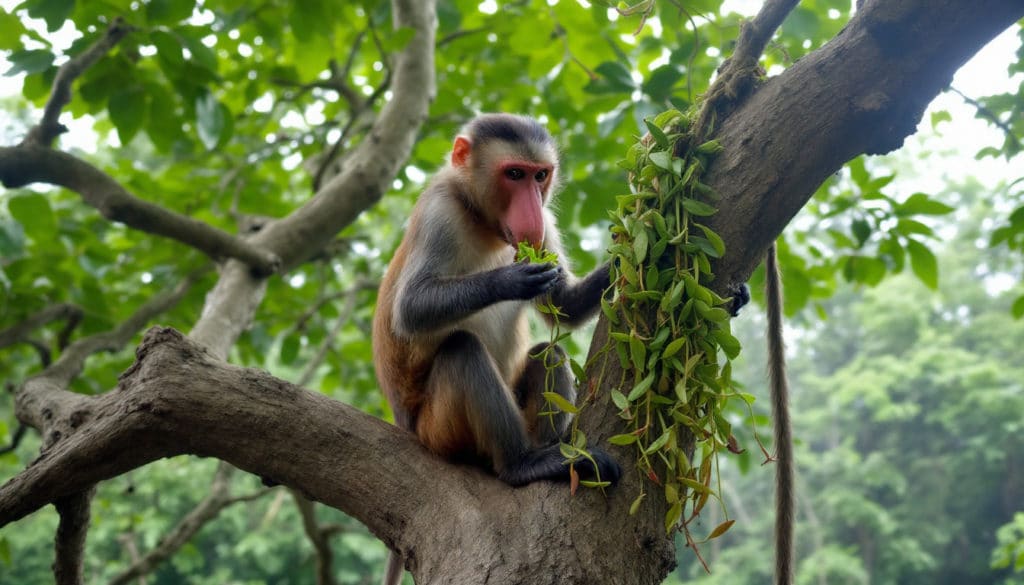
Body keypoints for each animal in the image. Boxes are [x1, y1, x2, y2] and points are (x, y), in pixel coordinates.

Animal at [372, 114, 622, 584]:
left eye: (540, 176)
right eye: (514, 175)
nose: (530, 213)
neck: (482, 220)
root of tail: (405, 424)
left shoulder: (545, 223)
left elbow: (563, 307)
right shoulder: (439, 212)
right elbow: (410, 310)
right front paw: (508, 280)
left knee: (547, 353)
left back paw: (553, 448)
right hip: (438, 430)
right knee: (462, 350)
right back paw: (521, 465)